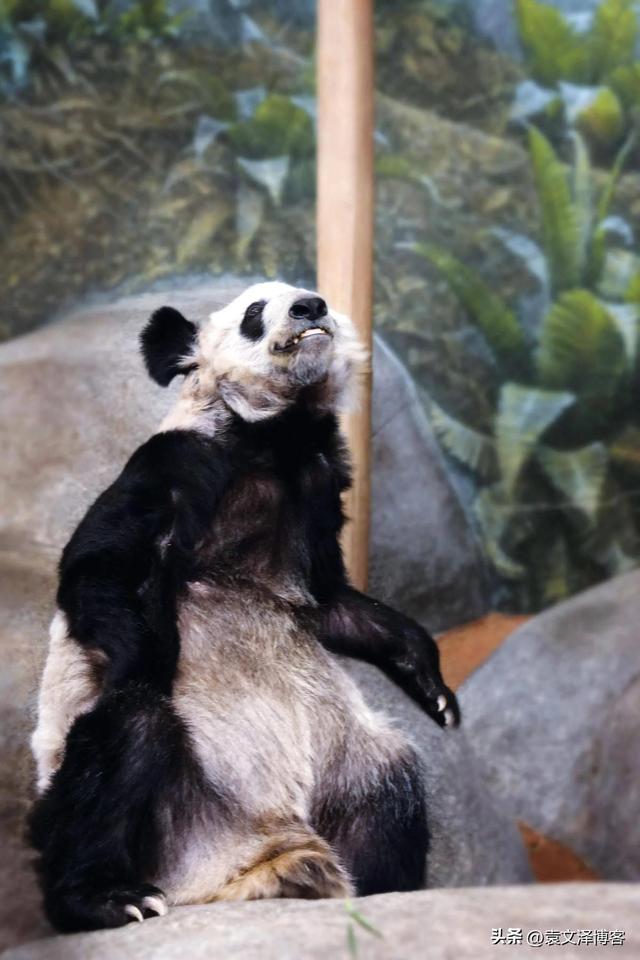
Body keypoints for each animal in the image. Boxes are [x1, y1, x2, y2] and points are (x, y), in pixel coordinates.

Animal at [29, 281, 459, 933]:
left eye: (315, 294)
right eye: (255, 313)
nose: (310, 306)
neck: (274, 437)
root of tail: (243, 861)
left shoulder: (314, 489)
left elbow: (334, 601)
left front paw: (432, 684)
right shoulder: (176, 461)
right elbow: (97, 565)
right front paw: (150, 650)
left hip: (342, 758)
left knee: (388, 785)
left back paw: (383, 887)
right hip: (168, 809)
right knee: (126, 739)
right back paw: (108, 897)